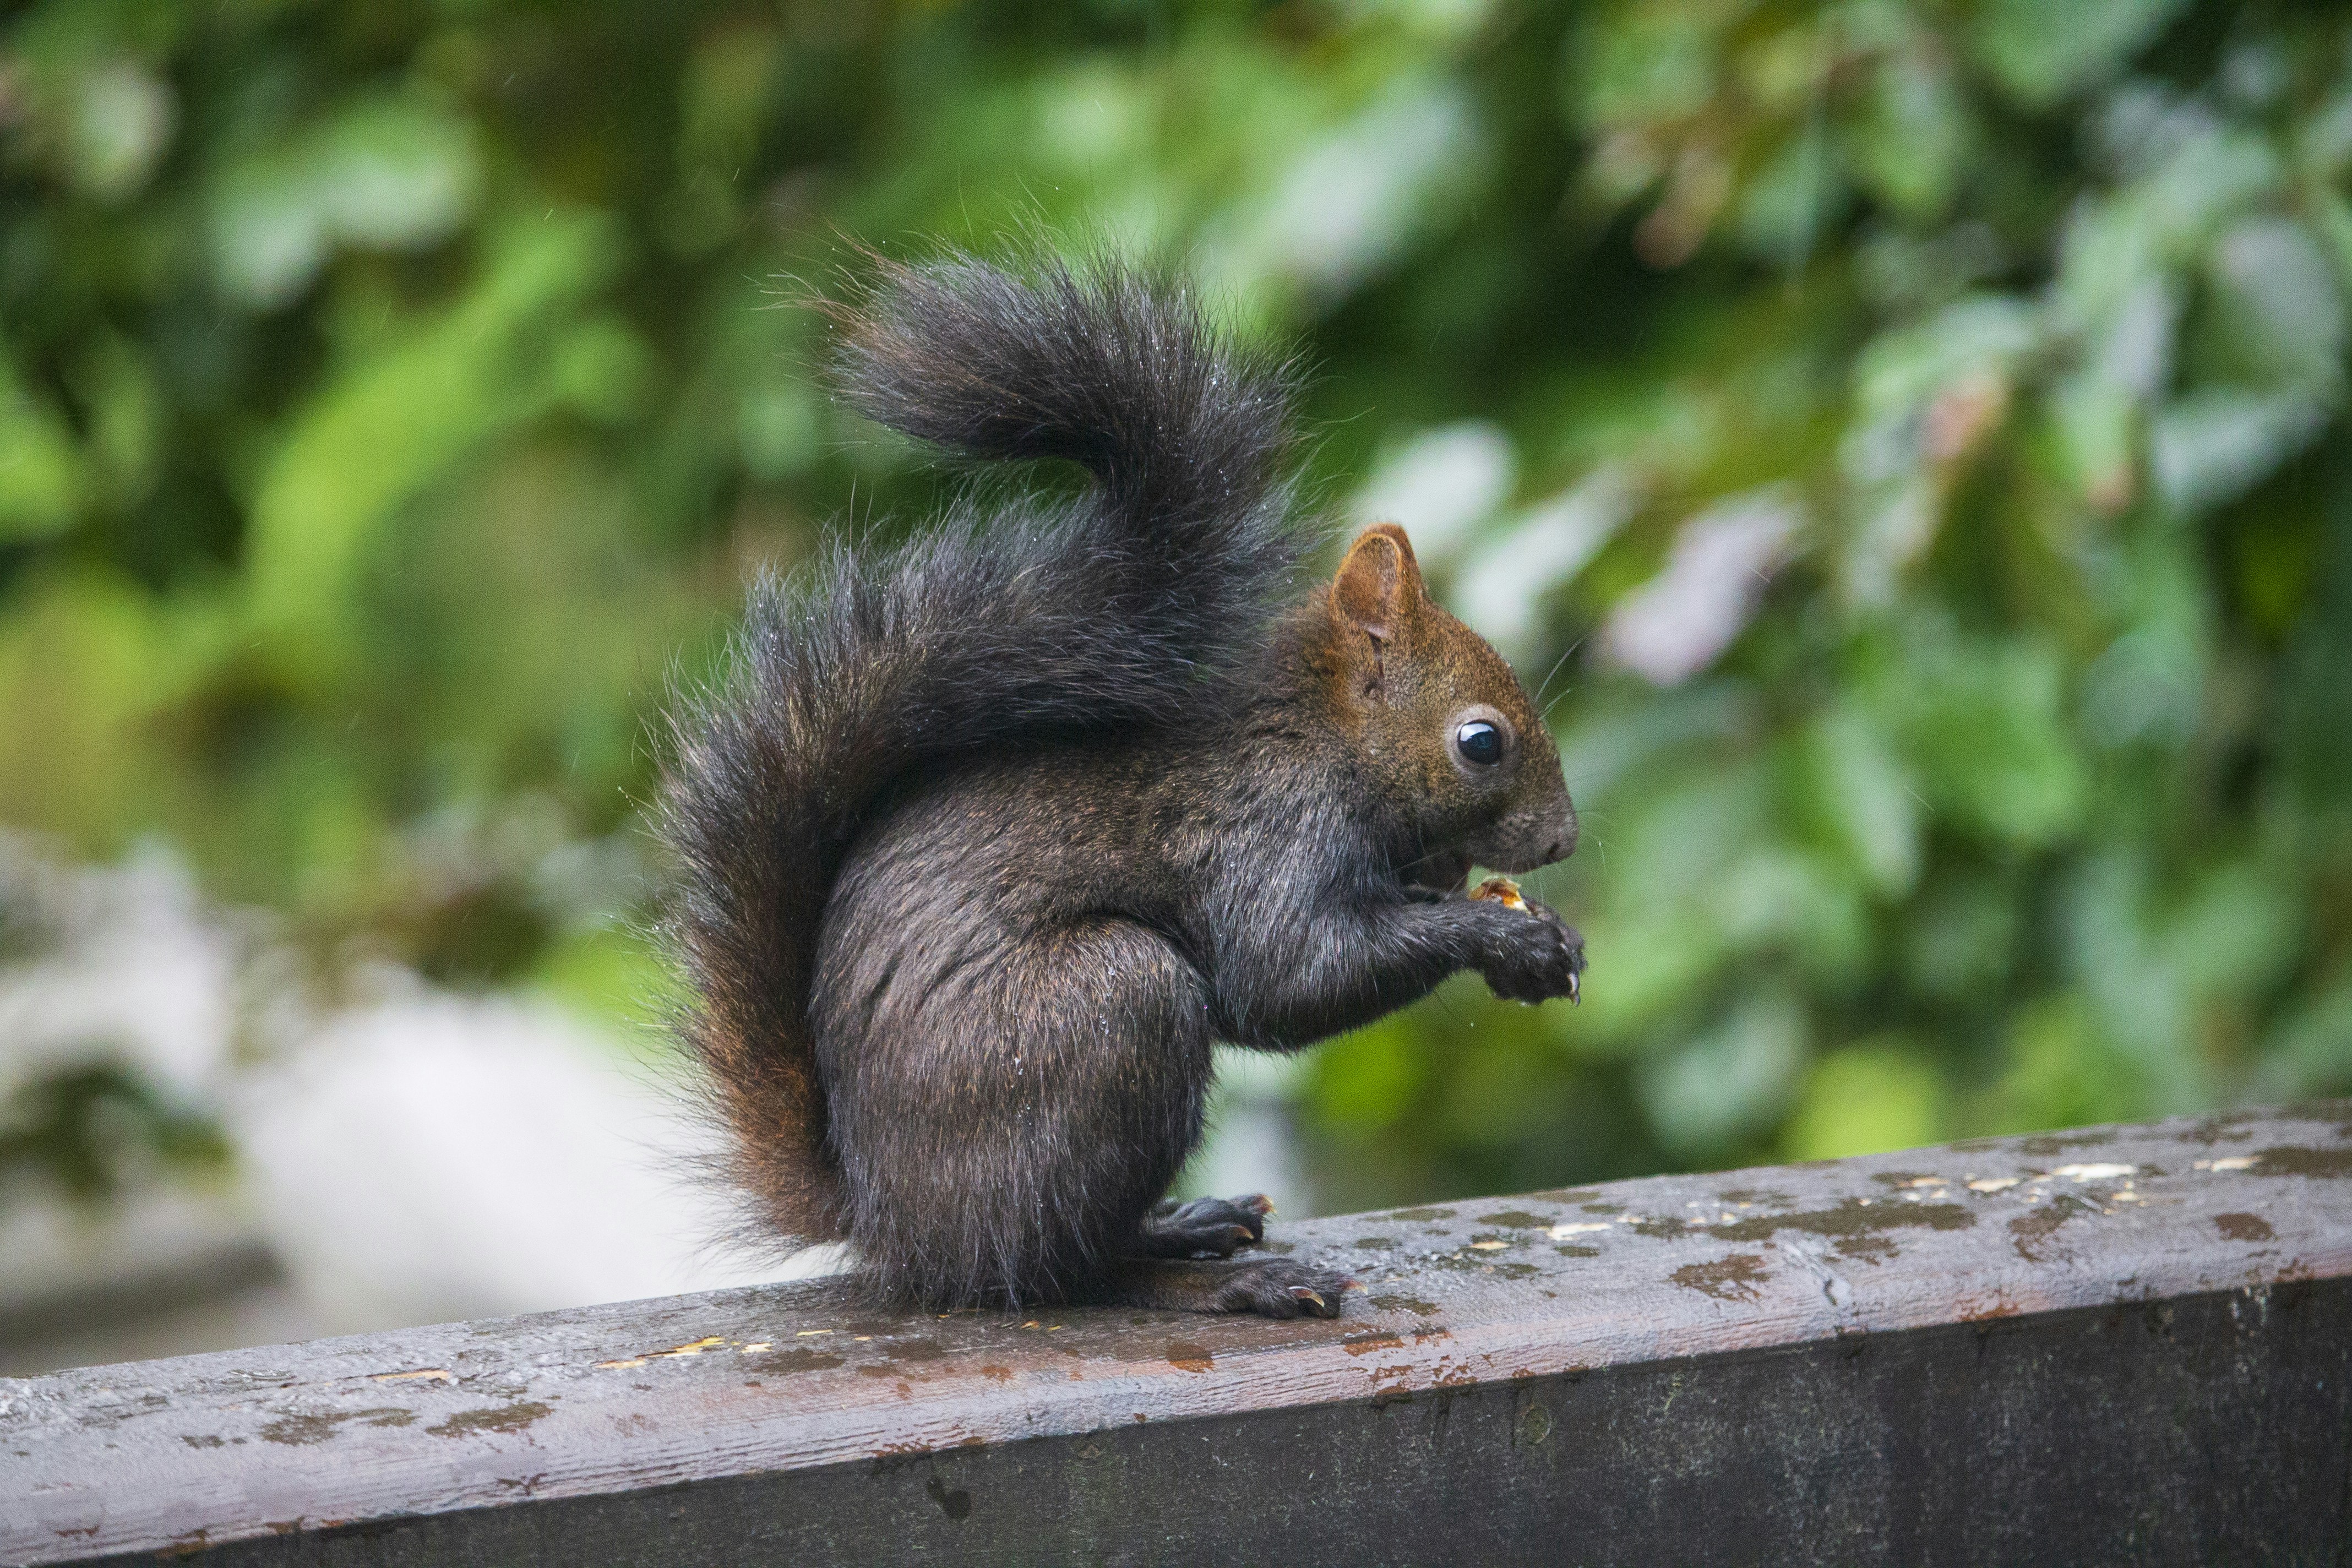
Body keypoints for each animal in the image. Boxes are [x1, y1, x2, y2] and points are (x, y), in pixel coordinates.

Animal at [662, 252, 1583, 1320]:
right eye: (1481, 742)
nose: (1562, 841)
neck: (1320, 744)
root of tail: (888, 1220)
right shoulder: (1266, 833)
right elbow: (1290, 976)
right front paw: (1501, 935)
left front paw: (1537, 939)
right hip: (1107, 1014)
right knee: (1062, 1269)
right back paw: (1230, 1278)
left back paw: (1190, 1226)